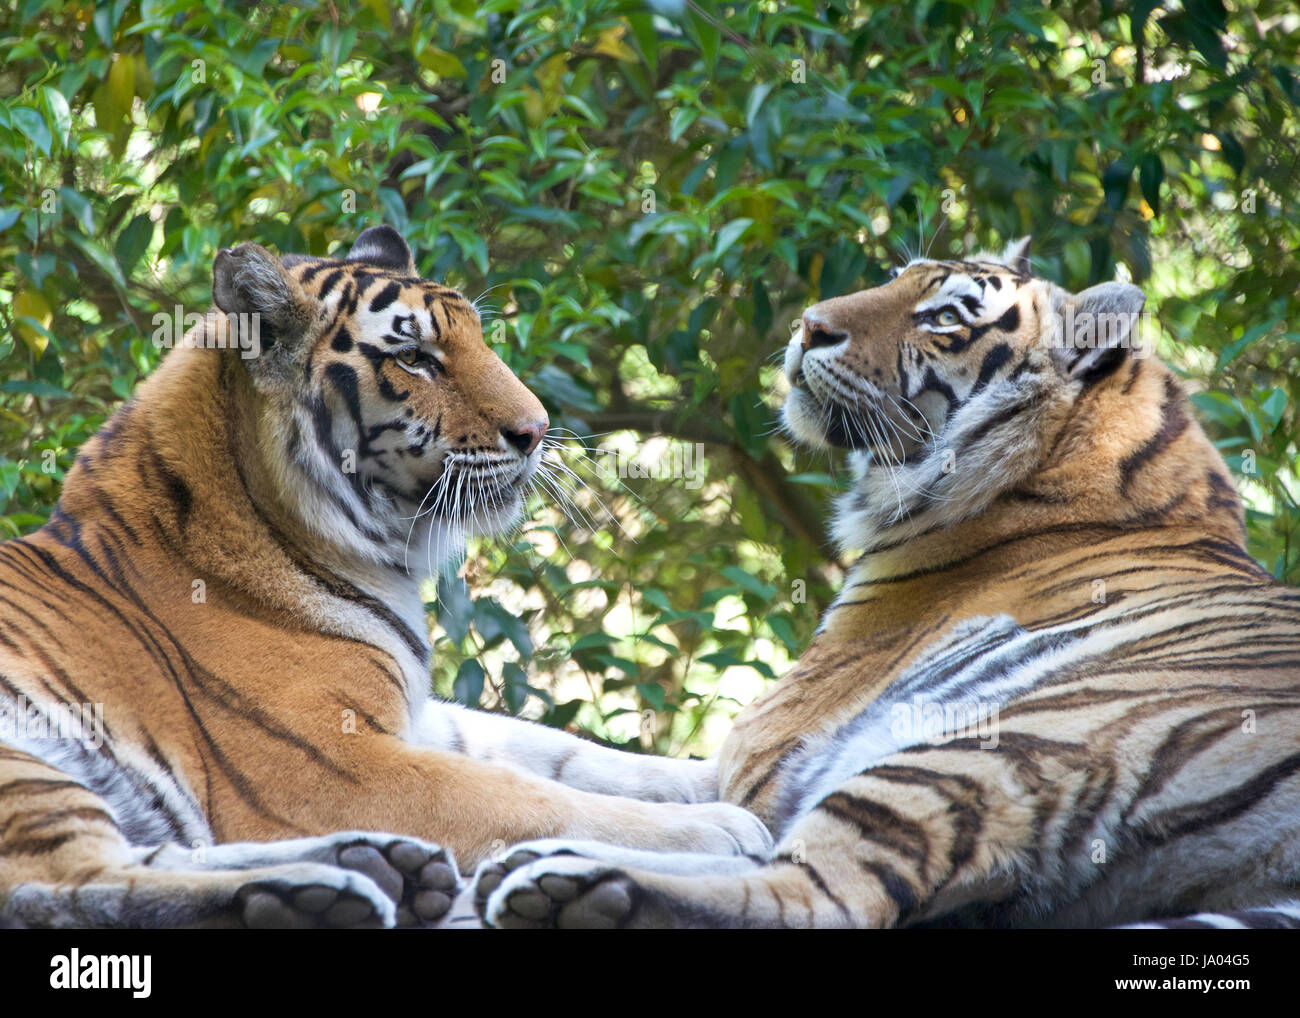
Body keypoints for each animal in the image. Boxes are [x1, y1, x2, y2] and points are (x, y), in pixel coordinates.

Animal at [0, 225, 770, 930]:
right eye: (413, 357)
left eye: (477, 338)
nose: (537, 430)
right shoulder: (334, 763)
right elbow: (527, 796)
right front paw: (718, 826)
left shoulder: (416, 713)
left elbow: (564, 753)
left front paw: (720, 776)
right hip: (26, 759)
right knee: (68, 881)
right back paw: (312, 894)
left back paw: (376, 863)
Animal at [472, 237, 1300, 929]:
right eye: (898, 276)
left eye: (944, 316)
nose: (809, 325)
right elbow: (591, 765)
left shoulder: (760, 754)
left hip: (982, 745)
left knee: (817, 899)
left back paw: (572, 884)